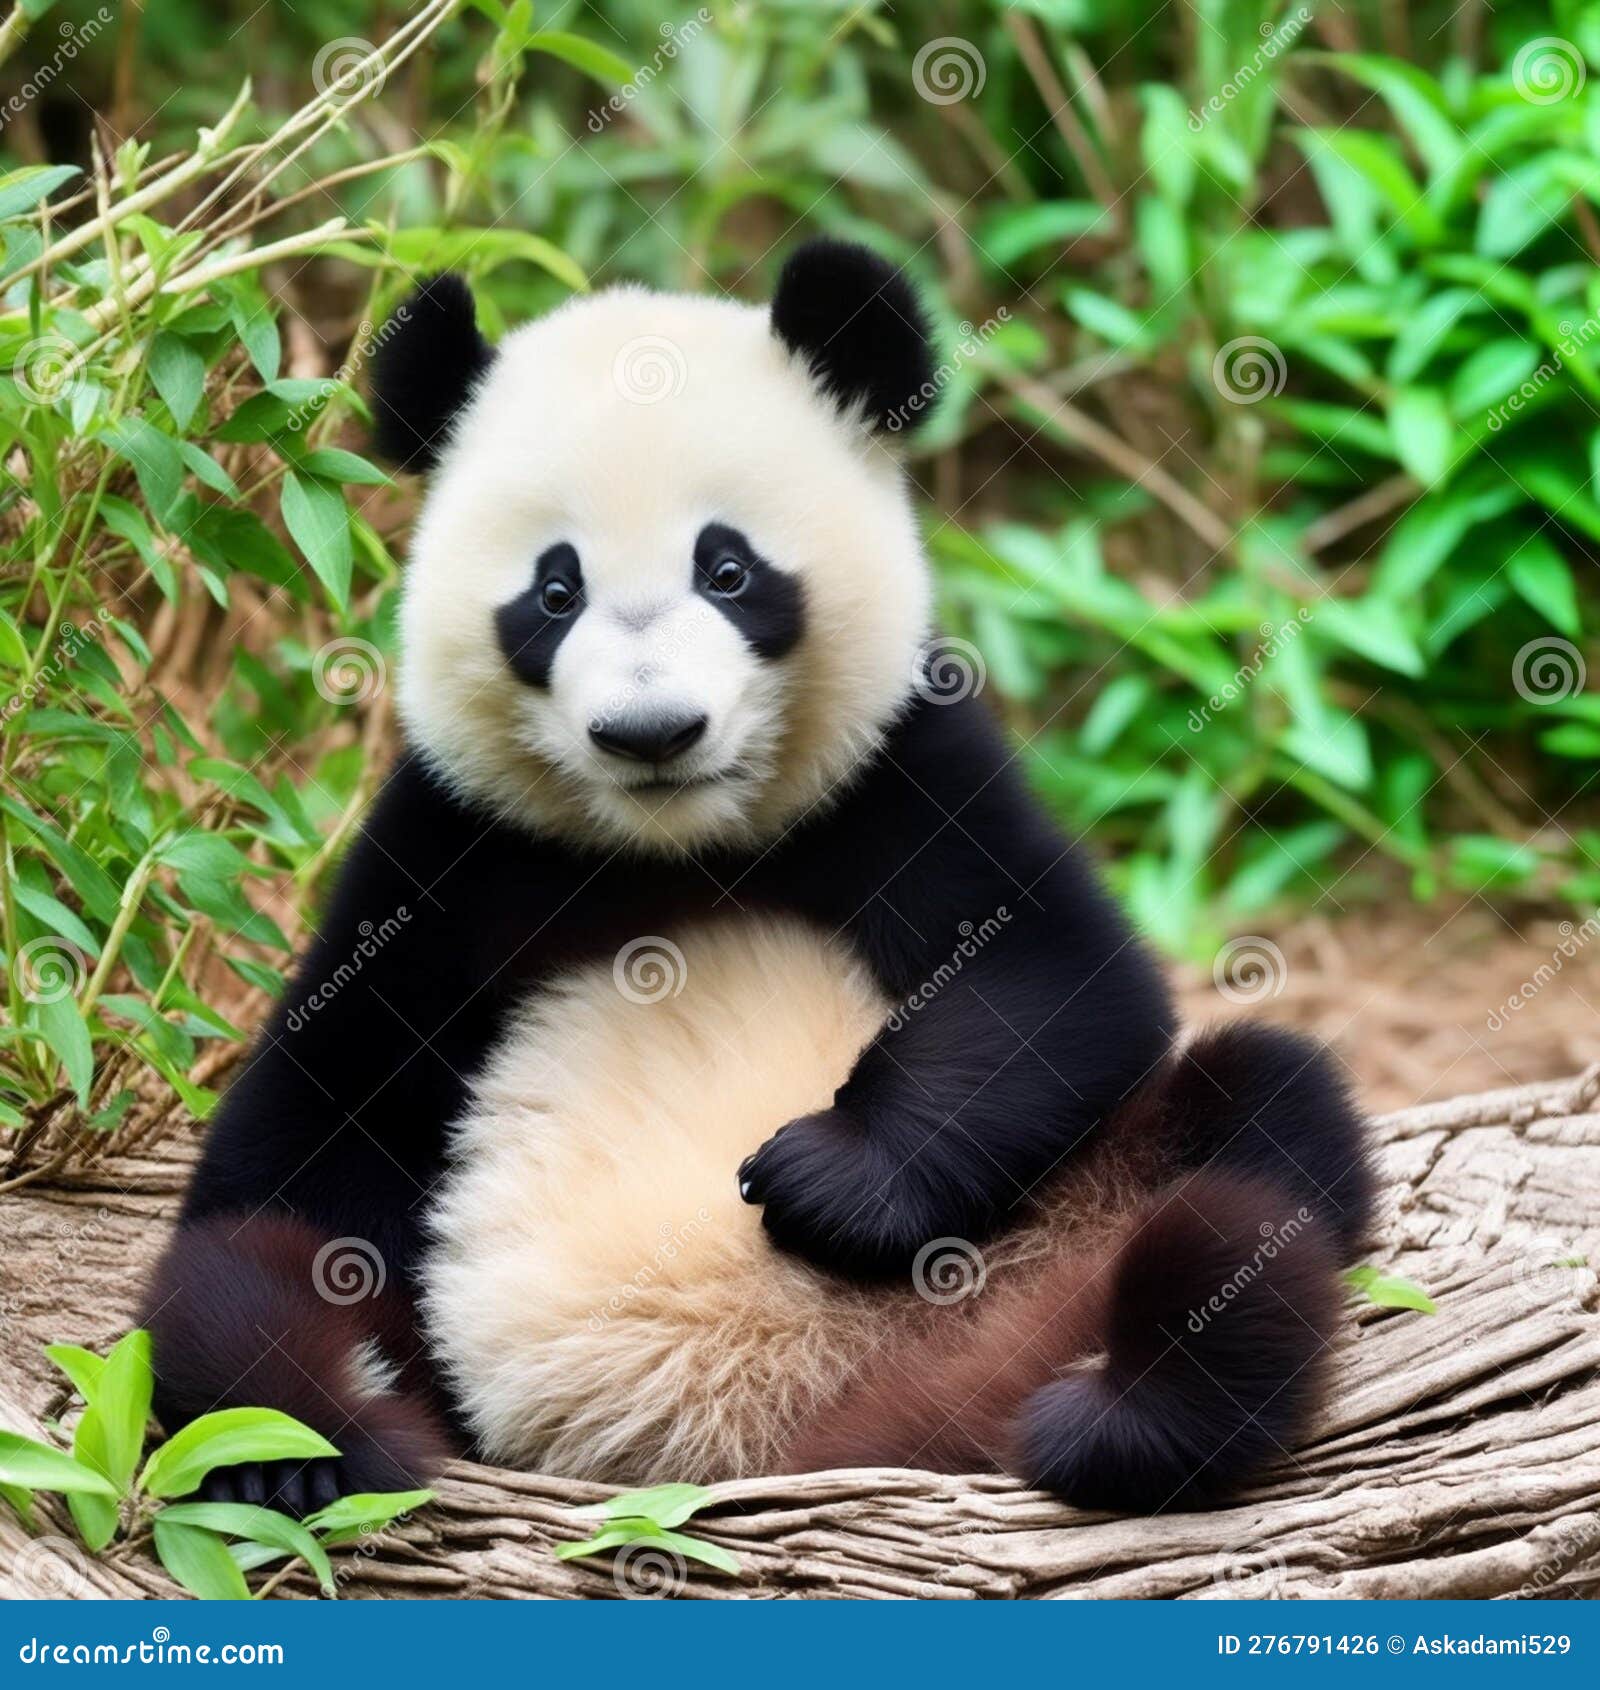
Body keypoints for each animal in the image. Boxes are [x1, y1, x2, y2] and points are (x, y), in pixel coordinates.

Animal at [142, 239, 1373, 1519]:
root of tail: (814, 1425)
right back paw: (301, 1439)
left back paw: (1141, 1401)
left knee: (1258, 1124)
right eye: (554, 592)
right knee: (229, 1282)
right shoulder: (443, 846)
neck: (678, 842)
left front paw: (829, 1180)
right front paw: (288, 1433)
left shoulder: (905, 767)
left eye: (727, 569)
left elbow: (1056, 980)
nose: (651, 731)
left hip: (1076, 1214)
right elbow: (322, 1120)